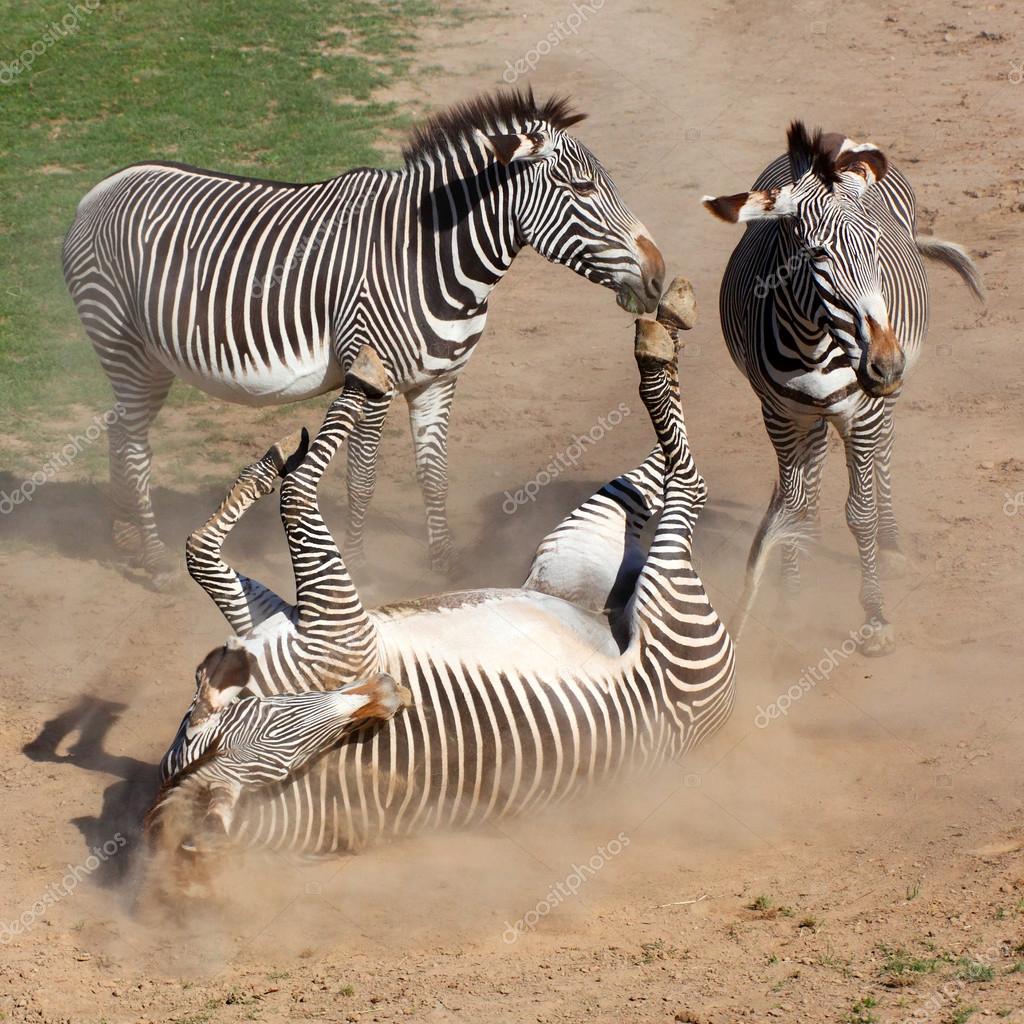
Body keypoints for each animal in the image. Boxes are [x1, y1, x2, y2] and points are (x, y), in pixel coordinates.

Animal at [61, 88, 665, 584]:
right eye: (582, 187)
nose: (659, 276)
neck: (429, 256)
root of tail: (100, 188)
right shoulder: (372, 376)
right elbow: (362, 478)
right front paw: (359, 566)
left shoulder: (439, 381)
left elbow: (434, 474)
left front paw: (447, 566)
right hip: (123, 344)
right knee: (135, 446)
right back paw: (155, 561)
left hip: (145, 361)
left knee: (119, 430)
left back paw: (121, 539)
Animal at [147, 322, 735, 857]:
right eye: (291, 740)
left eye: (285, 721)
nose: (391, 693)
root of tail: (718, 711)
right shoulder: (332, 630)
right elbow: (275, 509)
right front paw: (354, 388)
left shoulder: (303, 624)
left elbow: (213, 546)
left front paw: (272, 463)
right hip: (633, 581)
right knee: (686, 481)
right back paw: (658, 343)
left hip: (578, 560)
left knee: (663, 476)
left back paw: (670, 322)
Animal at [703, 122, 984, 655]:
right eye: (817, 253)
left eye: (874, 243)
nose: (886, 364)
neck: (813, 343)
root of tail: (833, 139)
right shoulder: (780, 416)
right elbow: (795, 512)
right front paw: (791, 602)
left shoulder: (862, 413)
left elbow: (860, 512)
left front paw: (874, 616)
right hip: (809, 418)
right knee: (812, 474)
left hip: (878, 406)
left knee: (885, 453)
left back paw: (891, 546)